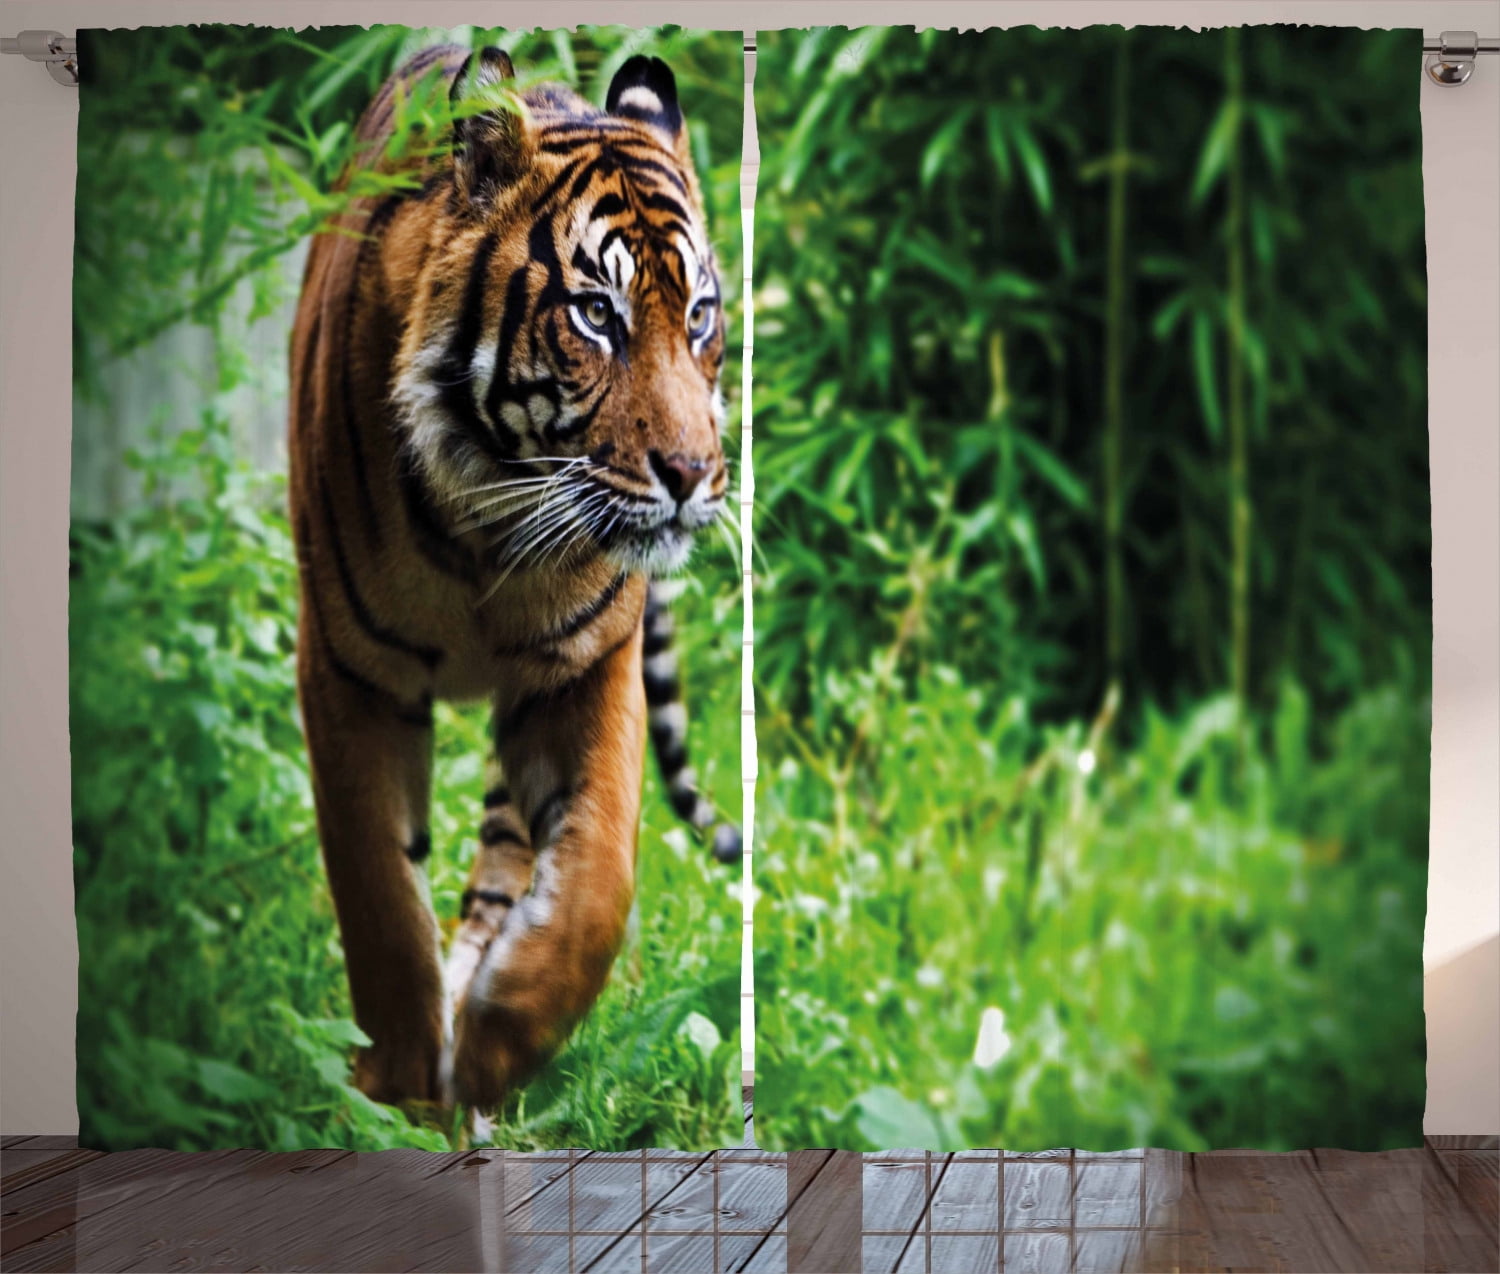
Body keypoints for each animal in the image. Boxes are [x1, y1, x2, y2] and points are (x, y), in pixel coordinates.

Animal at [288, 43, 740, 1114]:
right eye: (597, 314)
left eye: (700, 314)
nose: (694, 473)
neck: (488, 530)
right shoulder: (347, 671)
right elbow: (376, 887)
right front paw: (400, 1082)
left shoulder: (587, 668)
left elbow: (597, 881)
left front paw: (498, 1043)